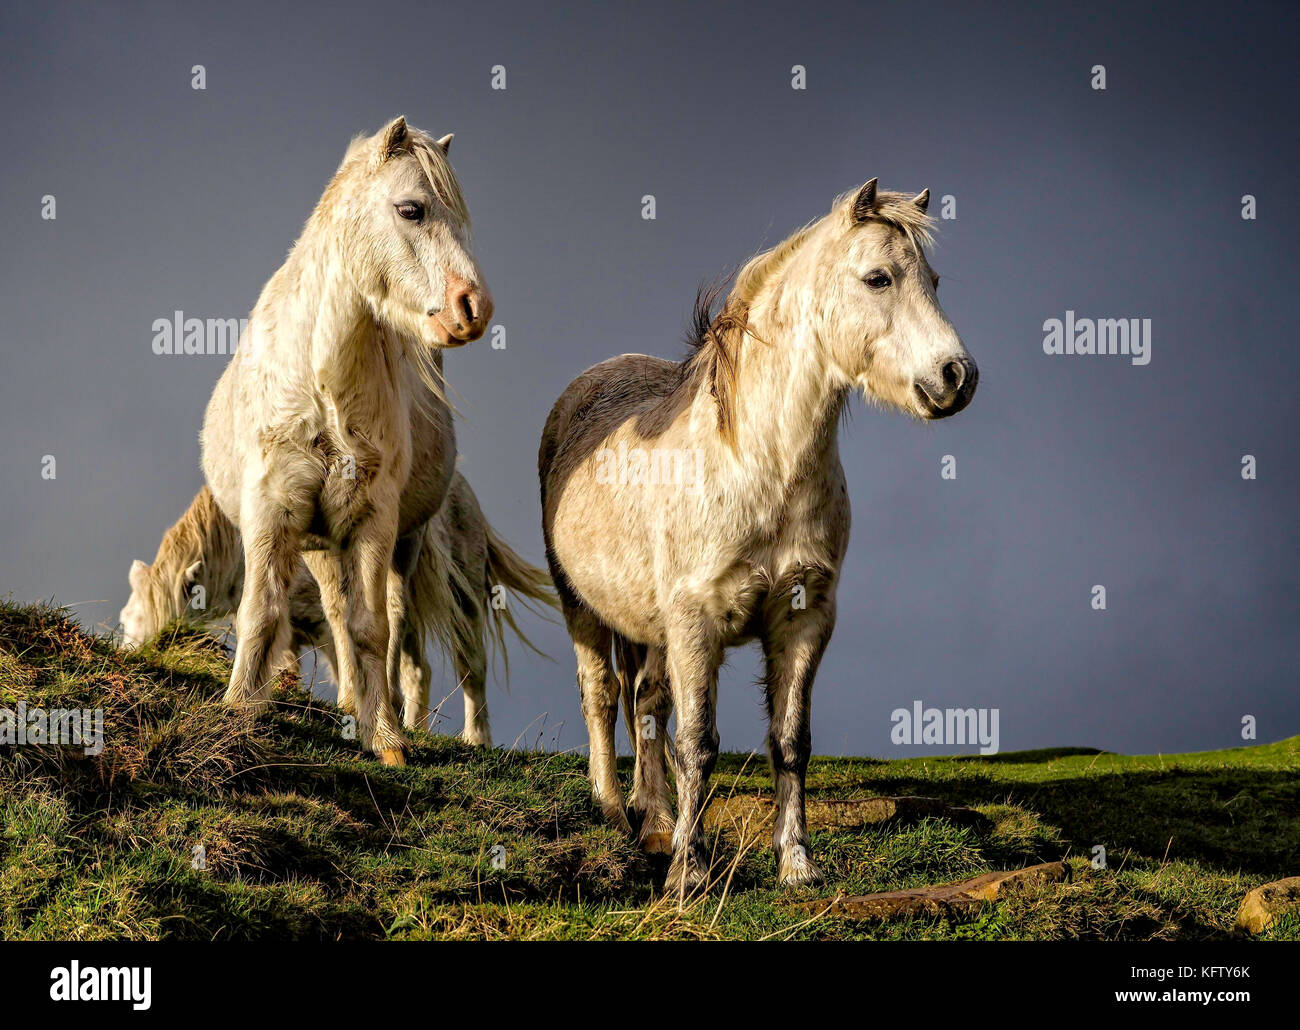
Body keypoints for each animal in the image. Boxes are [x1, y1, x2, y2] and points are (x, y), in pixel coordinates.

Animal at [118, 472, 555, 746]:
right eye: (126, 620)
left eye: (166, 627)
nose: (133, 653)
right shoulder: (293, 627)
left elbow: (348, 650)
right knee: (418, 669)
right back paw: (415, 726)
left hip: (464, 593)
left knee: (471, 666)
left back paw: (475, 739)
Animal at [200, 117, 492, 763]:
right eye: (412, 209)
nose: (474, 308)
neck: (320, 383)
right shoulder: (273, 512)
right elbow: (262, 613)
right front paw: (238, 710)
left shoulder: (372, 523)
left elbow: (370, 628)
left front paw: (385, 739)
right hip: (318, 543)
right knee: (334, 610)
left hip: (399, 543)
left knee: (392, 626)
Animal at [539, 180, 978, 891]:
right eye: (878, 278)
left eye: (934, 281)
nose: (957, 377)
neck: (760, 465)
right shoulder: (696, 624)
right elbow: (699, 745)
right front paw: (689, 875)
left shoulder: (803, 619)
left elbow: (789, 742)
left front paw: (795, 863)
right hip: (581, 605)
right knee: (602, 694)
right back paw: (610, 807)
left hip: (651, 627)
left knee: (646, 702)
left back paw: (654, 821)